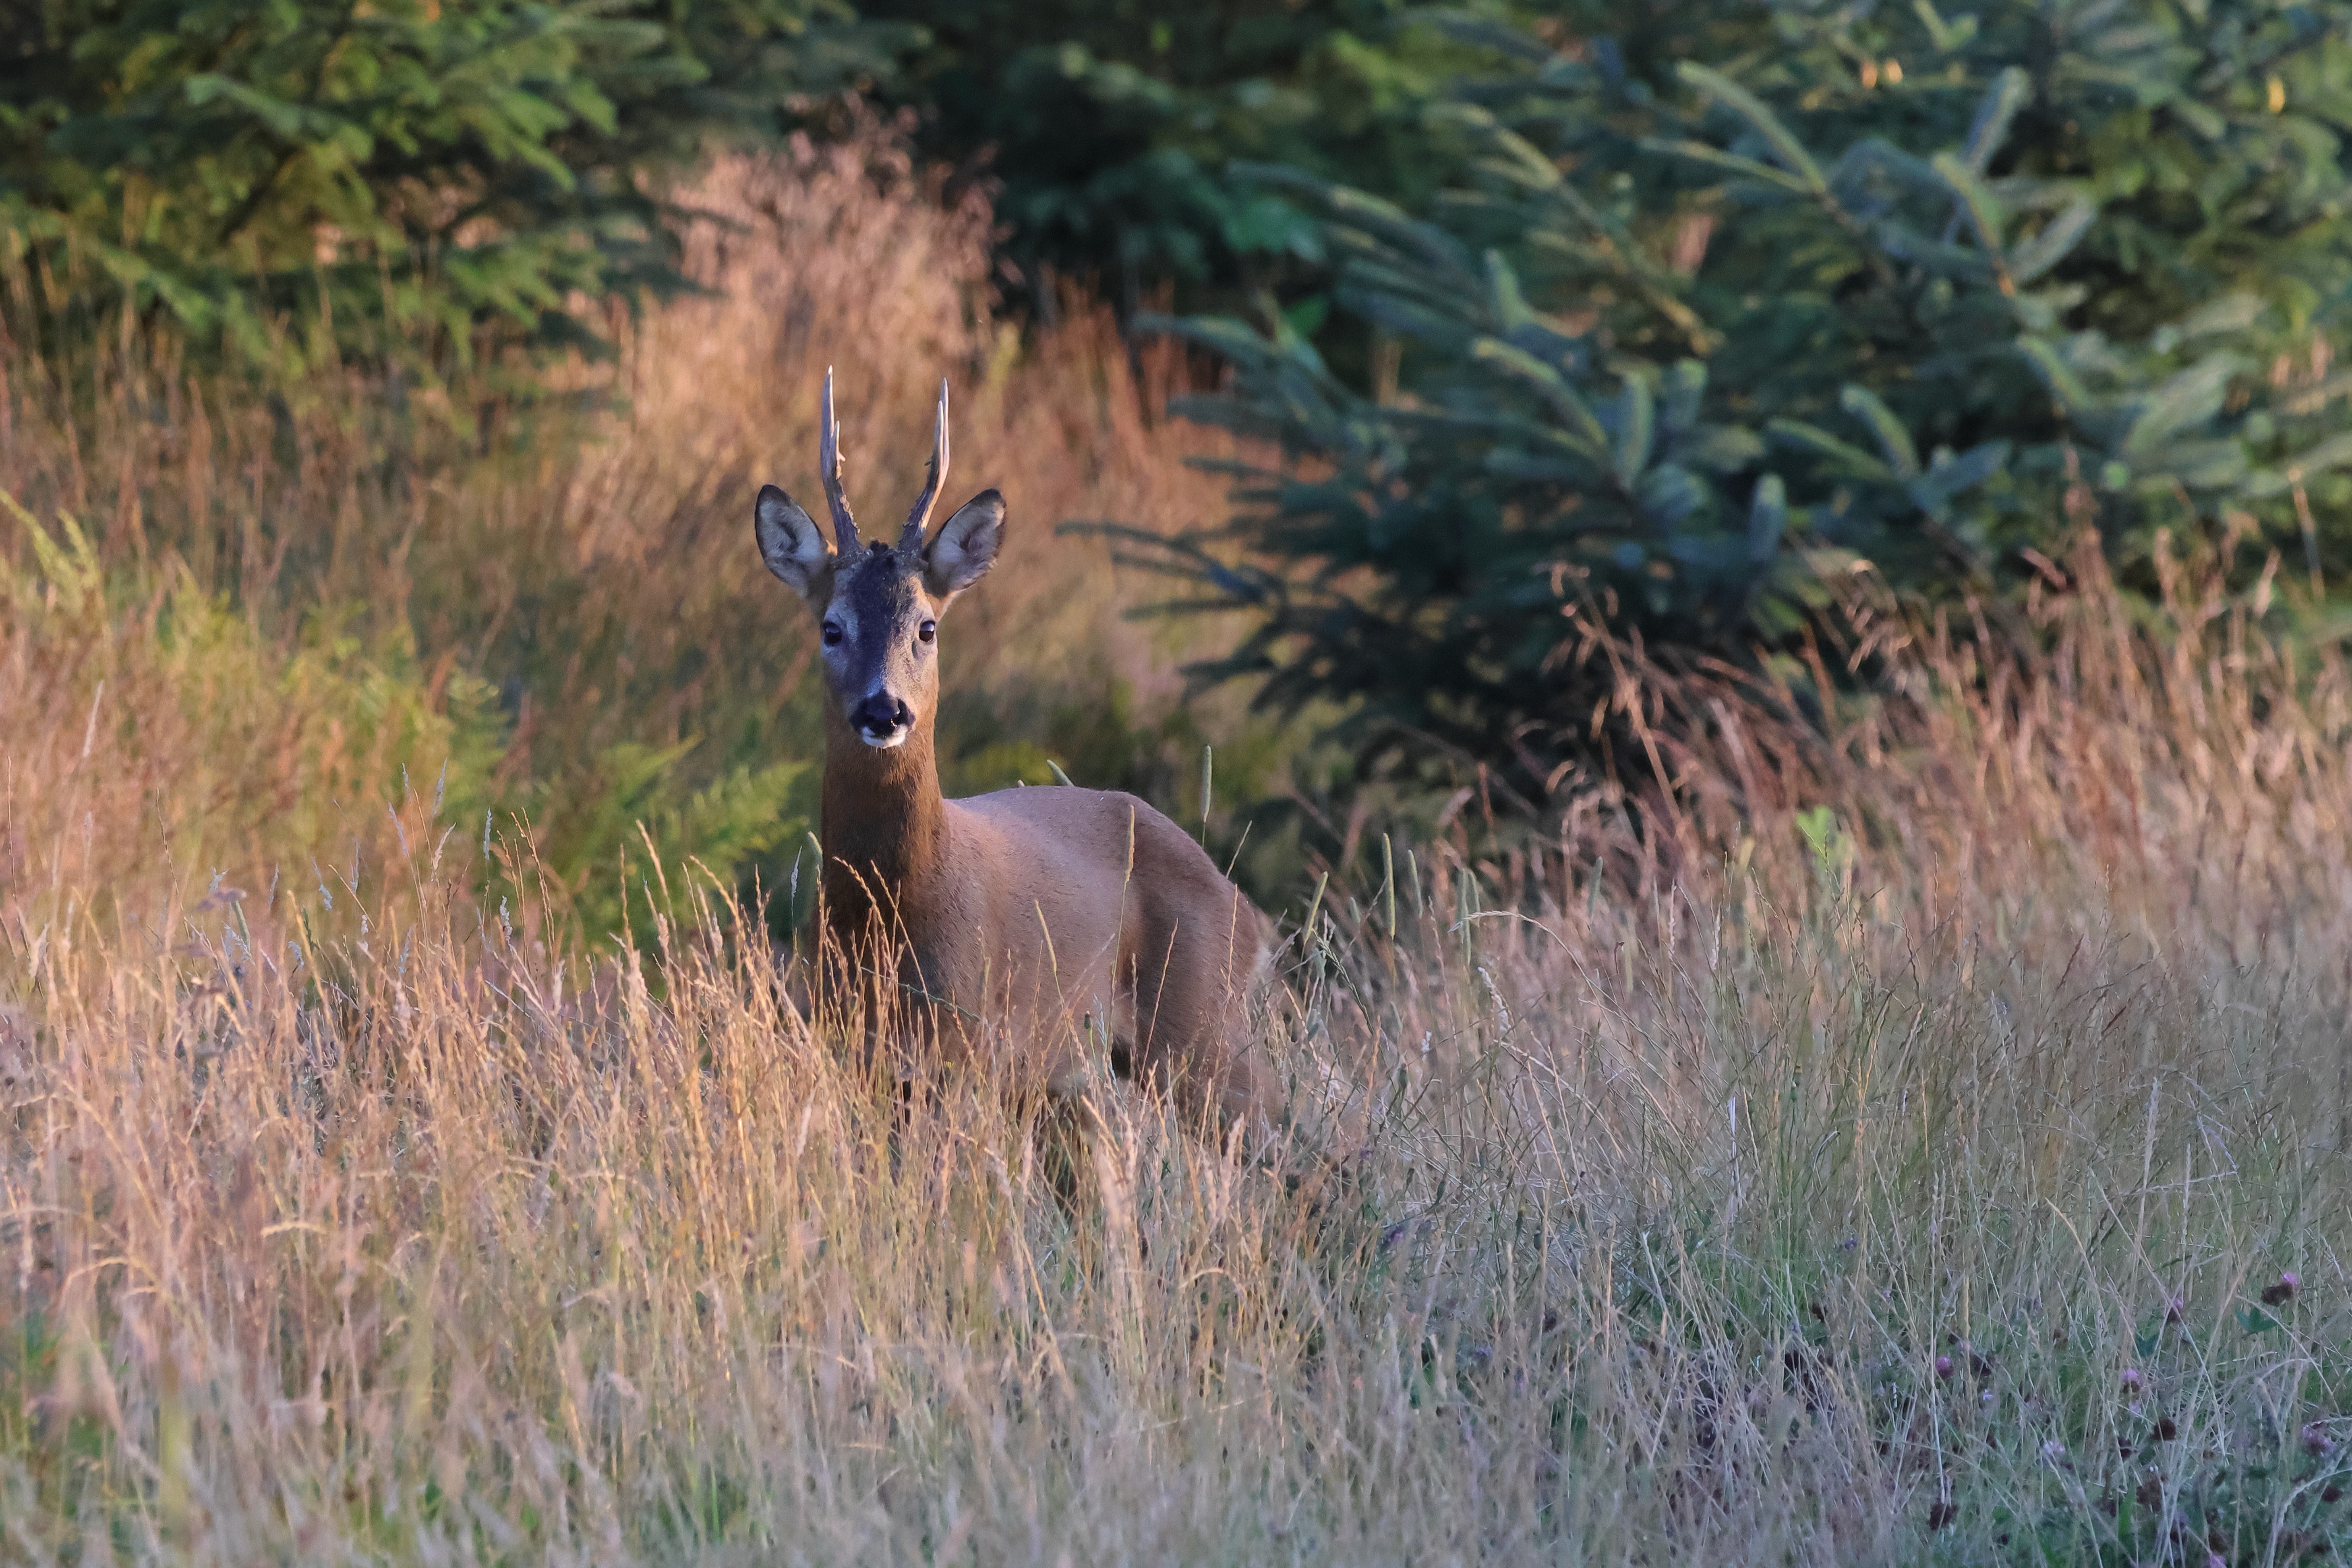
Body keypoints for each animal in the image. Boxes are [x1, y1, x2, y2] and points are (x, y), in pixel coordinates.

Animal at [752, 370, 1286, 1158]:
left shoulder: (968, 1042)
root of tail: (1247, 910)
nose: (884, 711)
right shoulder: (854, 1044)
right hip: (1086, 1071)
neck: (891, 913)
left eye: (927, 627)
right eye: (831, 627)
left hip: (1200, 1026)